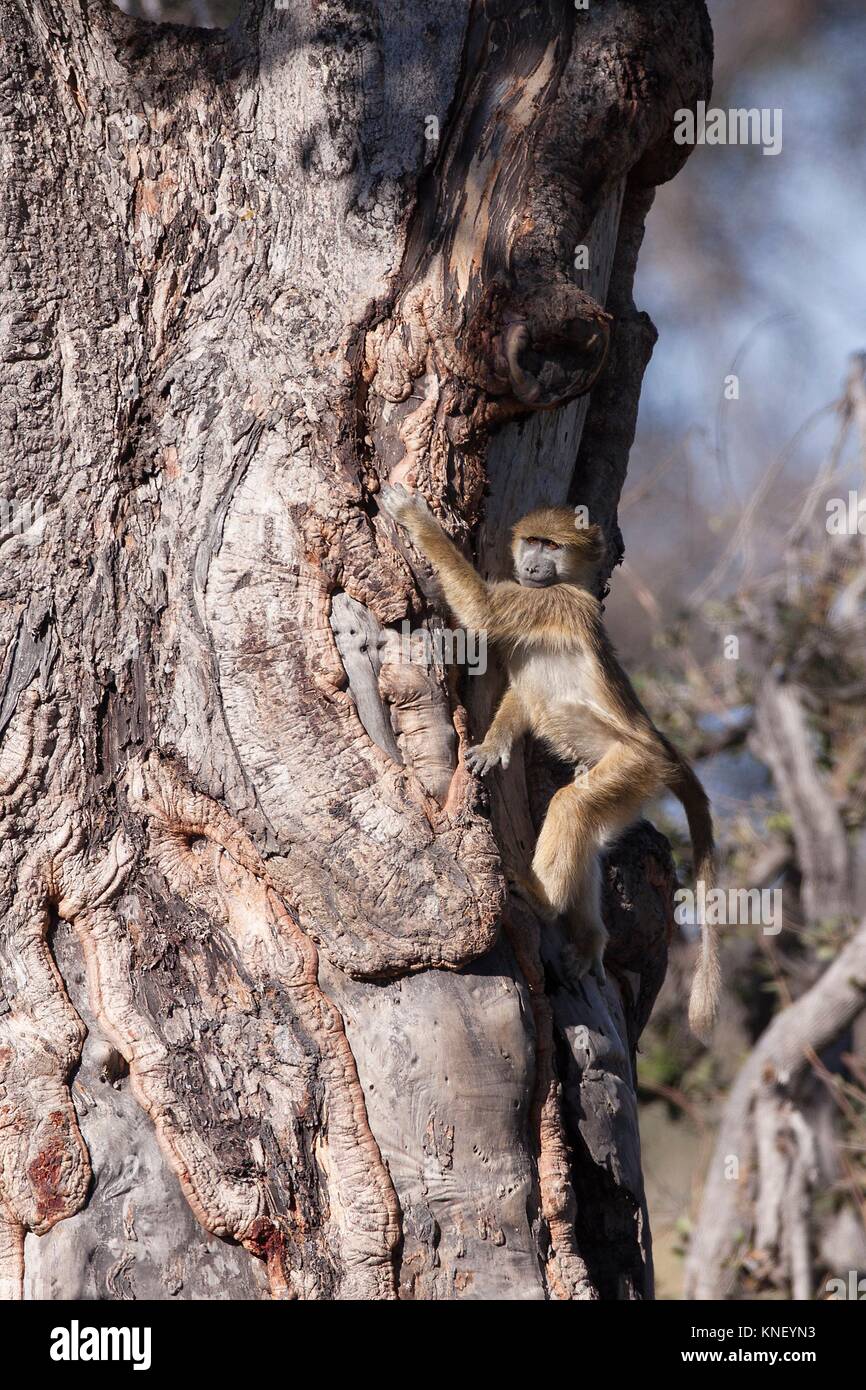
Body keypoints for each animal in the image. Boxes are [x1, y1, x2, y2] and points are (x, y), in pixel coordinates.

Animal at [379, 484, 719, 1039]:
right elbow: (518, 689)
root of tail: (661, 748)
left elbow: (484, 610)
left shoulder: (548, 602)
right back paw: (590, 939)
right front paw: (492, 747)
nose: (534, 565)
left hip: (632, 767)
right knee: (590, 838)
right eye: (532, 542)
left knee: (572, 809)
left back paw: (544, 900)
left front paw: (414, 516)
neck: (568, 585)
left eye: (553, 546)